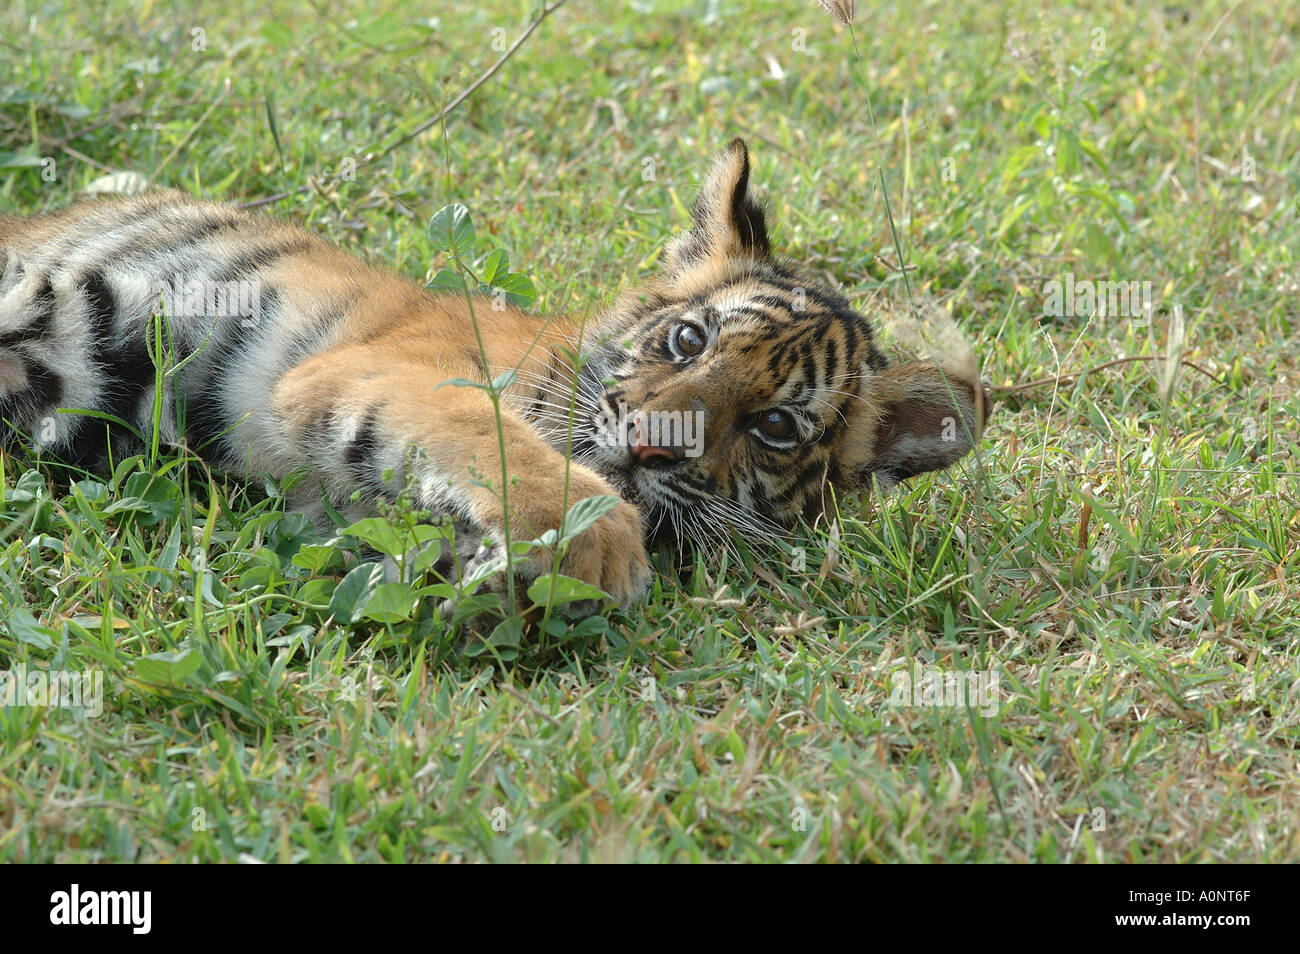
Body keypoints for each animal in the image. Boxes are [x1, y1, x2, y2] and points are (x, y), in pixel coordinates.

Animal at [0, 139, 986, 608]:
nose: (651, 447)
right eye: (687, 341)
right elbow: (495, 439)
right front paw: (593, 539)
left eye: (775, 427)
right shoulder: (380, 370)